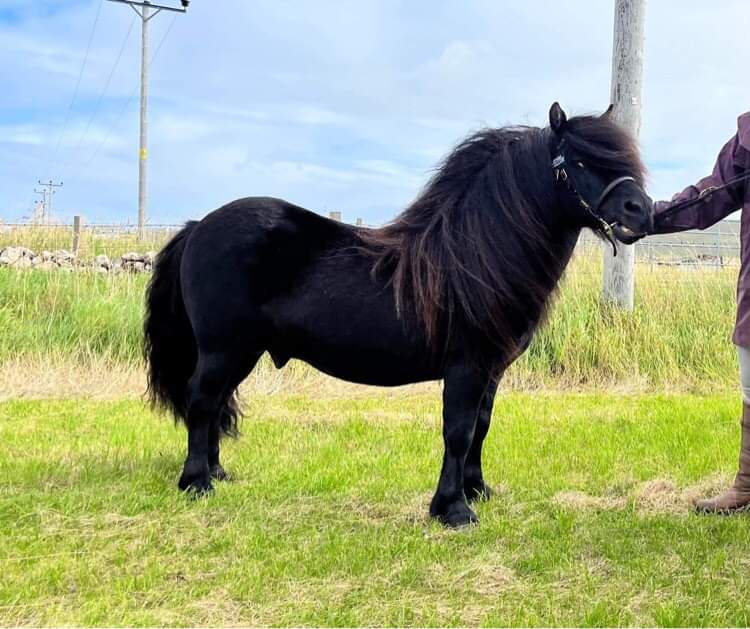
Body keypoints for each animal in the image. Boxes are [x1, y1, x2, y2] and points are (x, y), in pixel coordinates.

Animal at [144, 102, 652, 527]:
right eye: (580, 161)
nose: (642, 211)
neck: (474, 255)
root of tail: (198, 227)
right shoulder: (467, 368)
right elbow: (458, 431)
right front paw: (453, 509)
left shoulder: (492, 371)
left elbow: (481, 428)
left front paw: (477, 489)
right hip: (224, 349)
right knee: (202, 401)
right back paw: (197, 482)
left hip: (238, 353)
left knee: (214, 405)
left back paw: (217, 473)